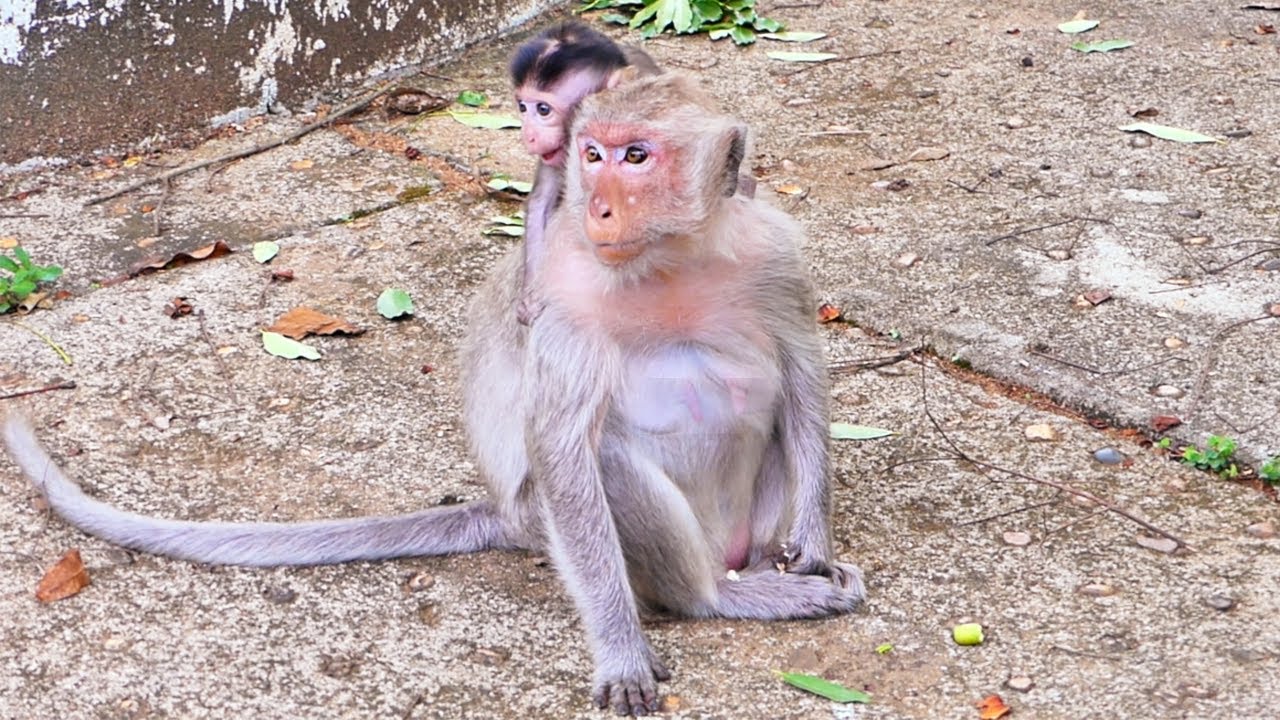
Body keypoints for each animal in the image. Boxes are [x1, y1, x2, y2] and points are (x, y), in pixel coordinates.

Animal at [2, 72, 864, 716]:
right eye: (594, 154)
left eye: (637, 155)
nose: (598, 205)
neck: (671, 260)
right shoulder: (566, 292)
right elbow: (564, 446)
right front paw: (621, 654)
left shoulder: (772, 251)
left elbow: (801, 375)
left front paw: (815, 546)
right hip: (567, 519)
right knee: (609, 470)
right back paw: (716, 599)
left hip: (751, 523)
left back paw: (786, 568)